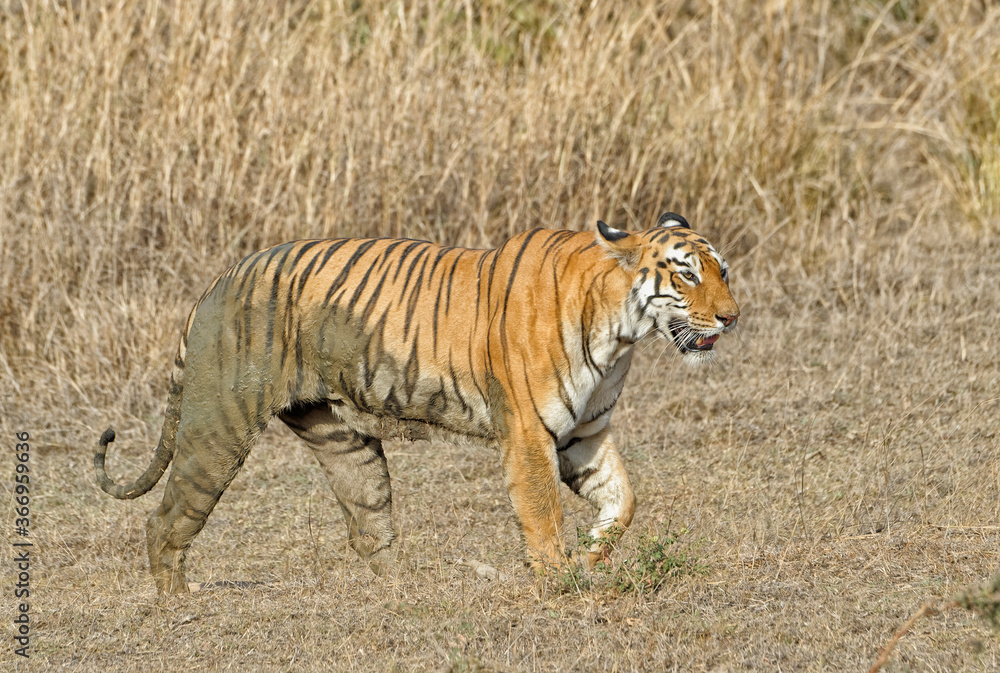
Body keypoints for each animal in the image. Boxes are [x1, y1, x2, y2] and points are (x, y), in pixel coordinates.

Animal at [94, 212, 739, 594]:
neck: (622, 330)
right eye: (686, 276)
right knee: (166, 518)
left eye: (723, 272)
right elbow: (542, 514)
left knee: (367, 524)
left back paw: (403, 591)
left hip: (345, 443)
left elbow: (624, 501)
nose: (732, 318)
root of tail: (217, 282)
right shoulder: (531, 434)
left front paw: (589, 557)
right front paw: (559, 582)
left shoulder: (585, 435)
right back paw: (176, 602)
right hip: (219, 428)